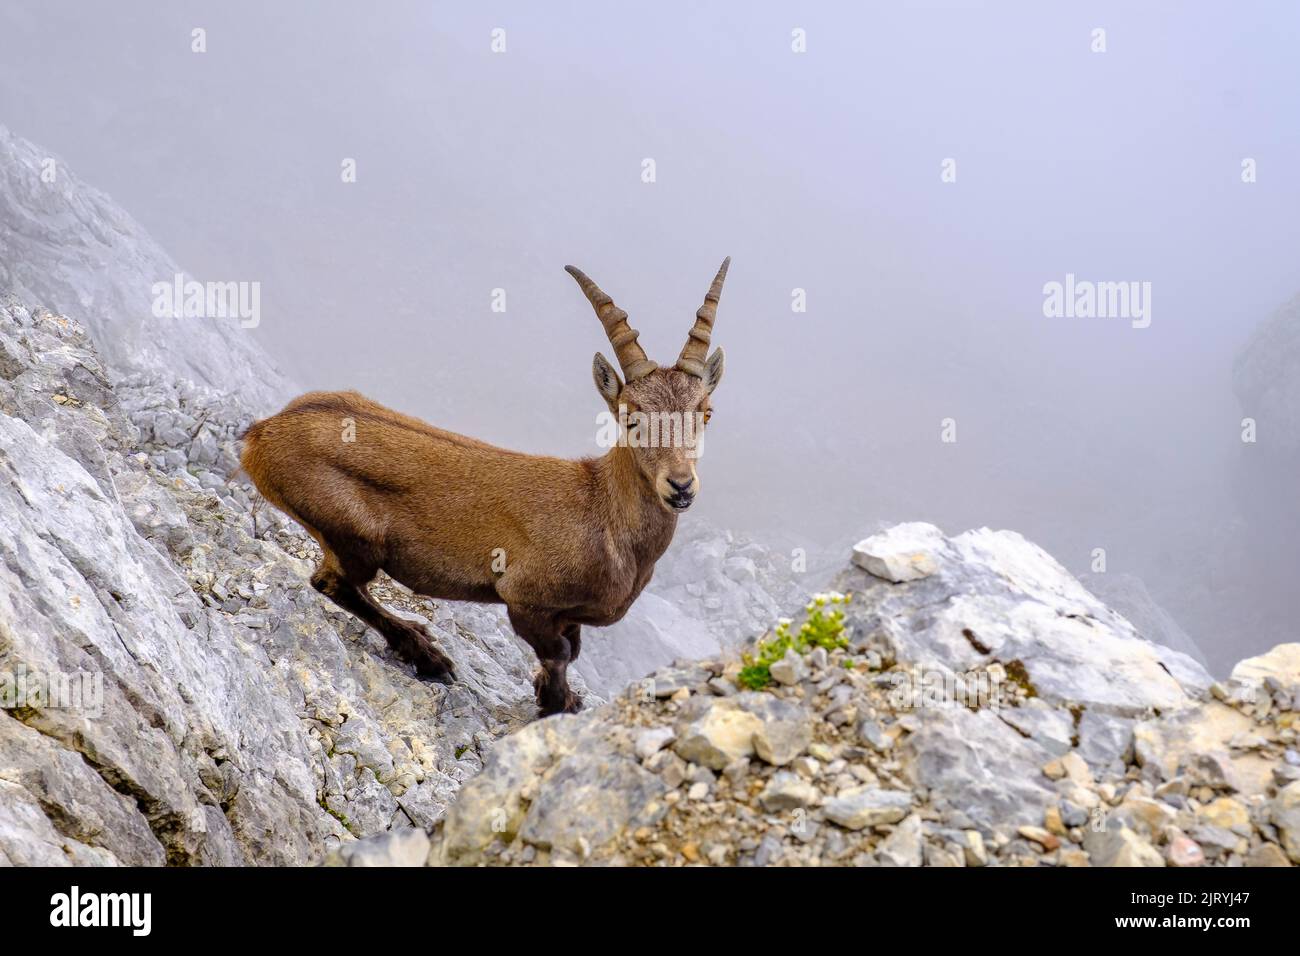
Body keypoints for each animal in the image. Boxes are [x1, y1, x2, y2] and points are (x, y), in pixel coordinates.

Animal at [240, 260, 729, 716]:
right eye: (631, 417)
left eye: (705, 413)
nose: (680, 486)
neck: (602, 511)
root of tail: (264, 434)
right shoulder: (525, 600)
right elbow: (559, 654)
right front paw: (553, 704)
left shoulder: (567, 615)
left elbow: (573, 650)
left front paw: (556, 695)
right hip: (355, 535)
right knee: (332, 582)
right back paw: (428, 655)